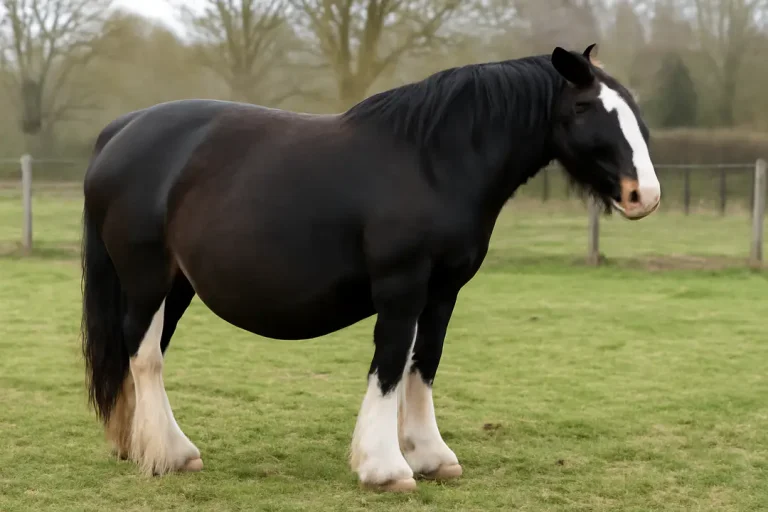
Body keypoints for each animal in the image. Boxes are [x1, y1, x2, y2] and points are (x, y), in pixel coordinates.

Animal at [80, 43, 661, 492]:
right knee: (145, 357)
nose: (644, 195)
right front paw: (385, 467)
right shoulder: (401, 287)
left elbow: (423, 364)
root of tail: (120, 131)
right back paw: (171, 454)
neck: (432, 162)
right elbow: (390, 364)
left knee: (144, 355)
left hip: (177, 287)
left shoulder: (442, 292)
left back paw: (138, 446)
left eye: (631, 107)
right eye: (585, 107)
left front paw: (431, 457)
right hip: (146, 279)